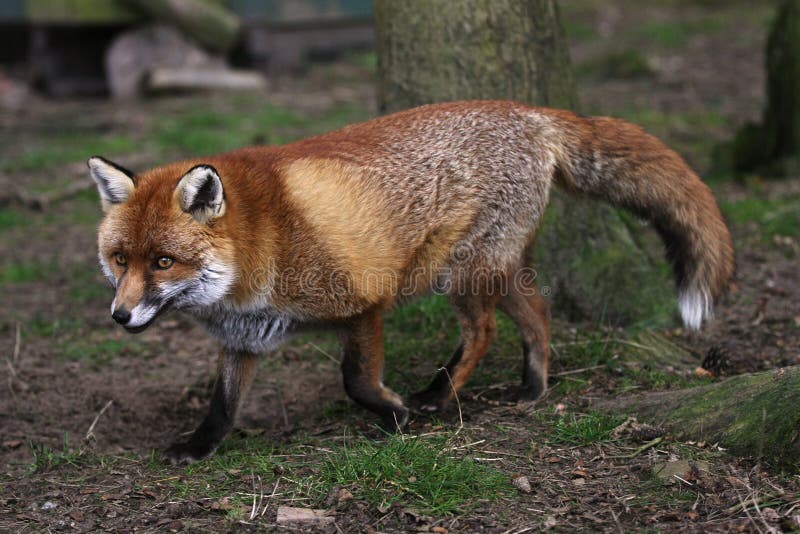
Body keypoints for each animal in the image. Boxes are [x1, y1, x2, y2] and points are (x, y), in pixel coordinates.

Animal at [88, 100, 734, 464]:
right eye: (119, 259)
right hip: (496, 269)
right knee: (539, 315)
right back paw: (532, 388)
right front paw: (197, 448)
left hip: (461, 275)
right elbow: (221, 405)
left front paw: (395, 416)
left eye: (163, 262)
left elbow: (355, 380)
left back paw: (437, 396)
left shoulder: (361, 305)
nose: (118, 316)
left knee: (484, 333)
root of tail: (529, 111)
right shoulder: (243, 338)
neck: (258, 250)